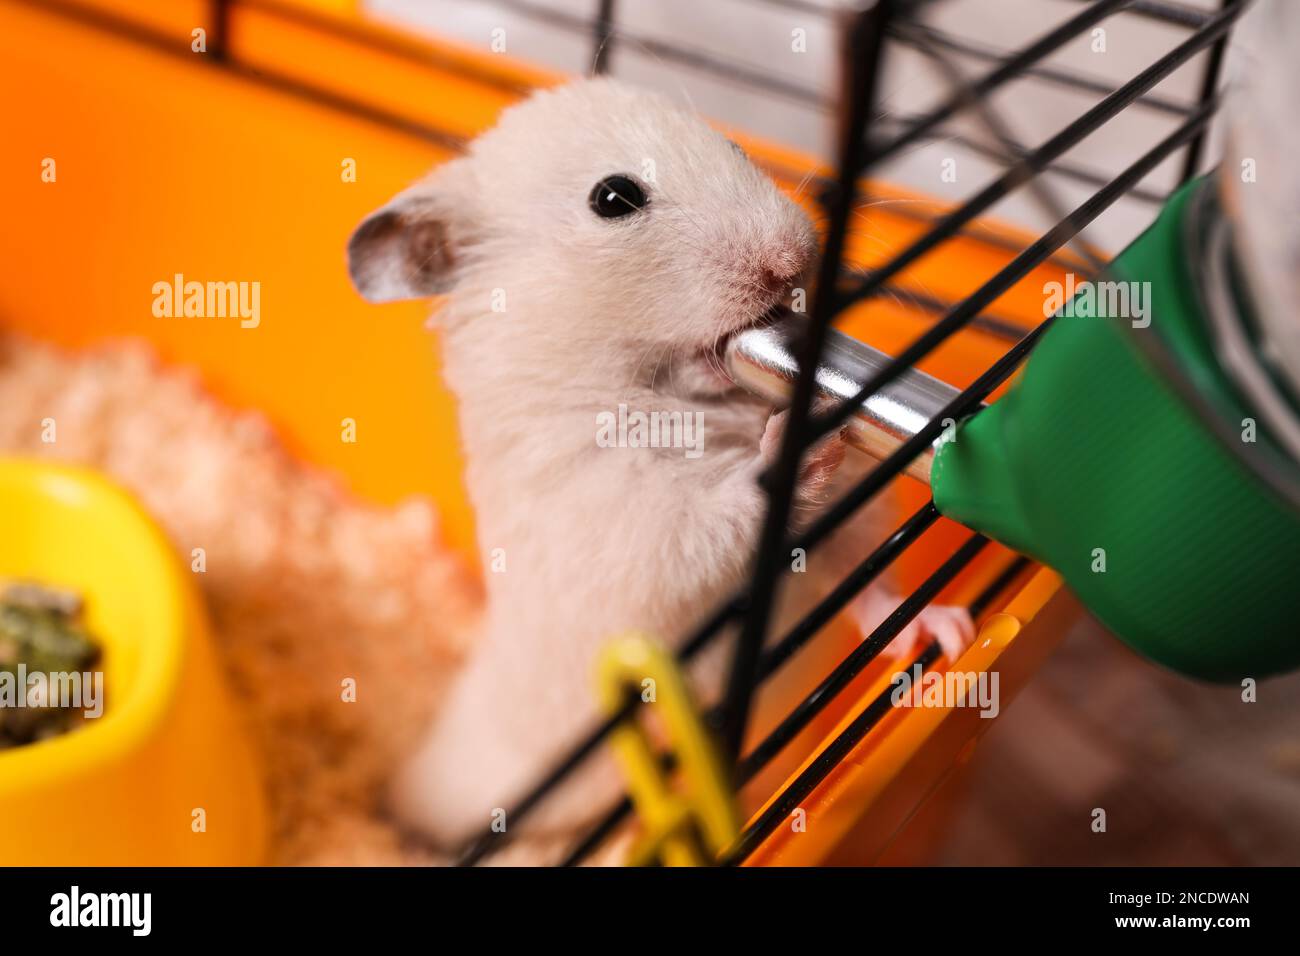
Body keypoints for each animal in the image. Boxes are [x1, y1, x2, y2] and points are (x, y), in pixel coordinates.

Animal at [347, 78, 973, 852]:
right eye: (614, 198)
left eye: (734, 144)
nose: (791, 257)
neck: (680, 397)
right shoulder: (624, 529)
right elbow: (715, 518)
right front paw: (791, 443)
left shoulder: (840, 525)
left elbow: (871, 587)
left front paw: (950, 628)